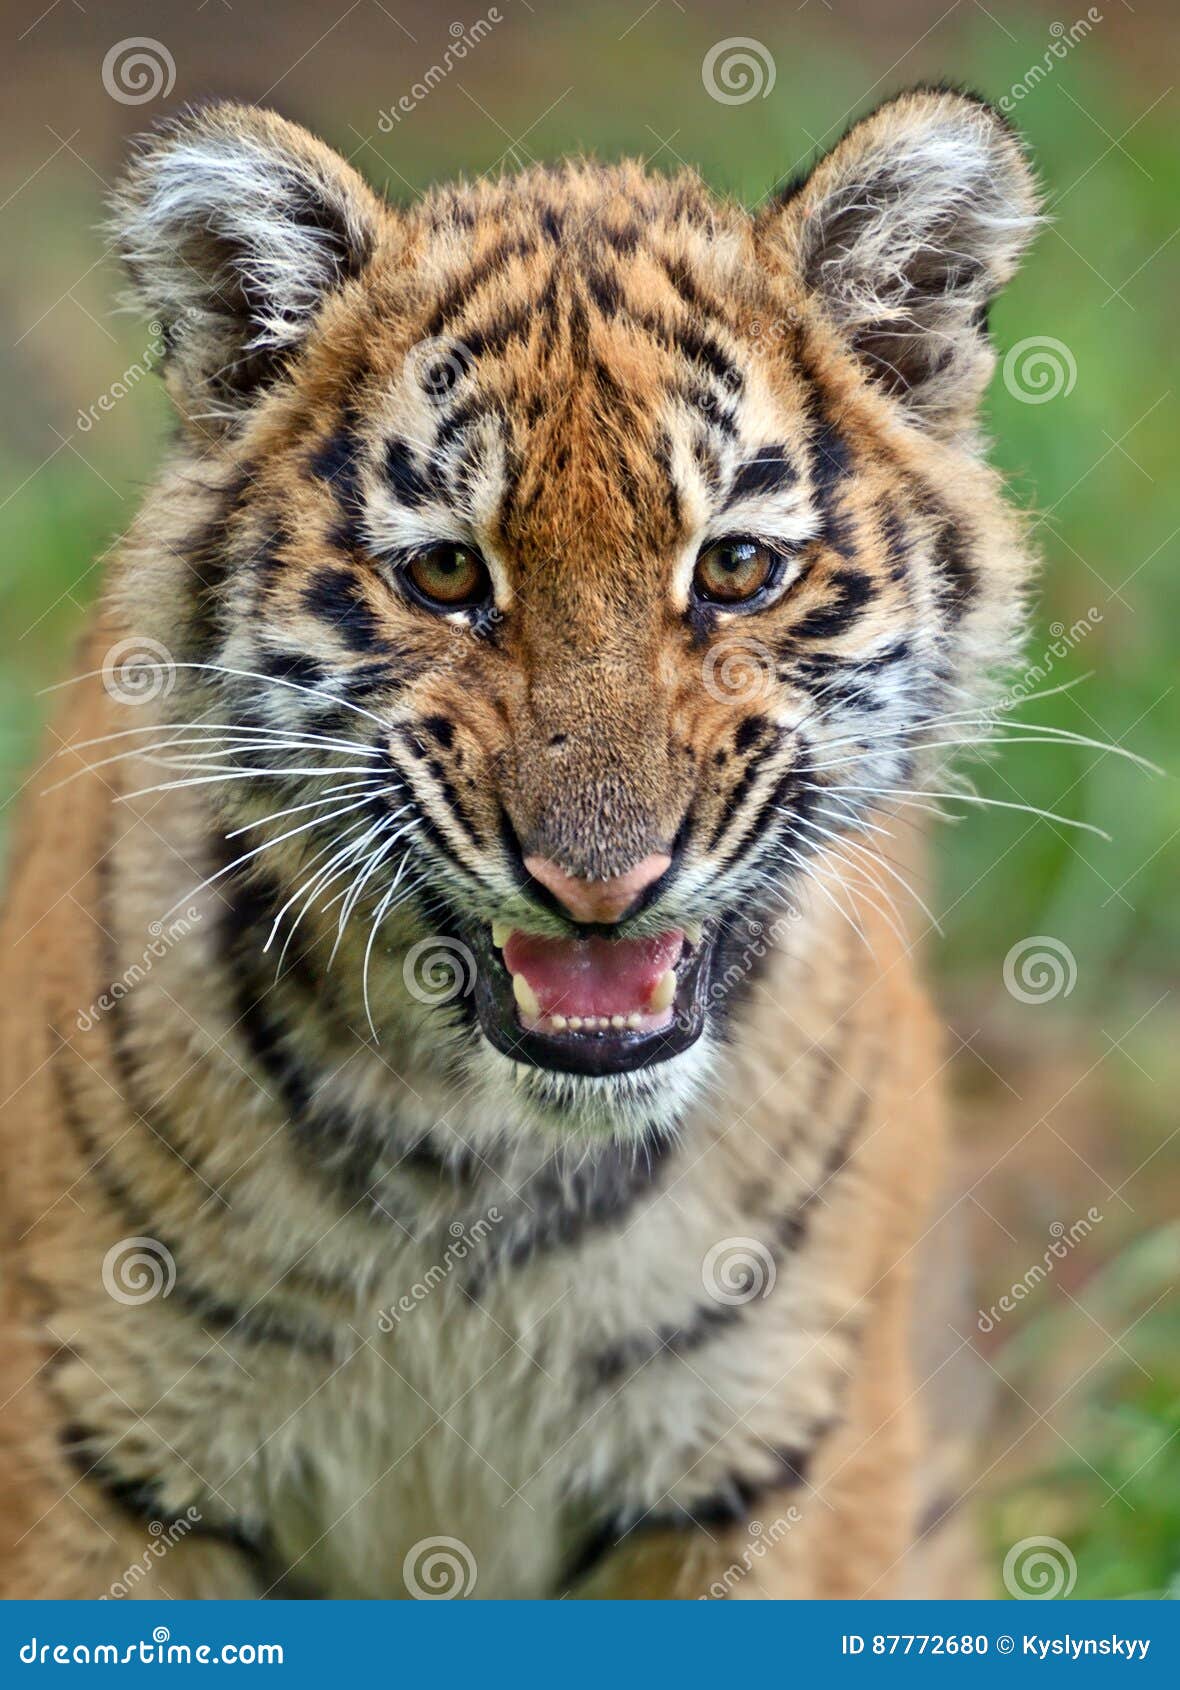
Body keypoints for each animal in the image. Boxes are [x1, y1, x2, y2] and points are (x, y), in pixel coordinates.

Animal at [0, 87, 1040, 1600]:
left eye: (735, 568)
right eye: (445, 573)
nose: (600, 881)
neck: (483, 1155)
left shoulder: (777, 1456)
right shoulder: (101, 1442)